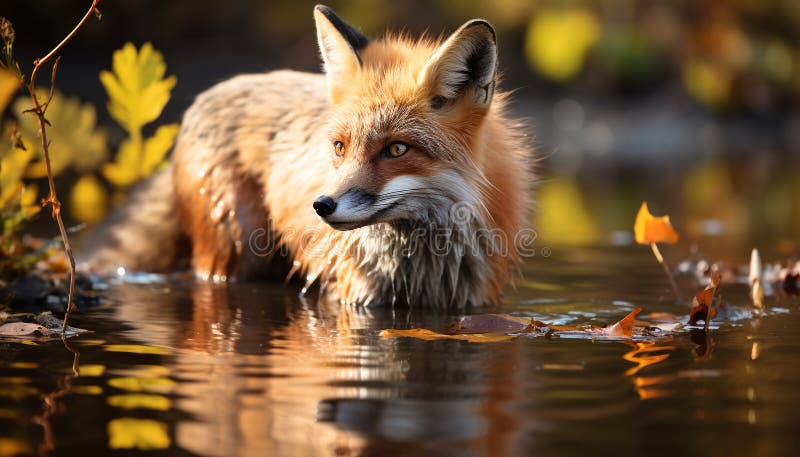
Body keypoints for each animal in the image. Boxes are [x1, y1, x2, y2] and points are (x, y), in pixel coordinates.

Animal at [87, 5, 534, 310]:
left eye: (396, 149)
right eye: (339, 147)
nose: (321, 205)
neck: (419, 262)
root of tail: (205, 96)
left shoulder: (469, 301)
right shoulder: (357, 298)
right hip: (234, 252)